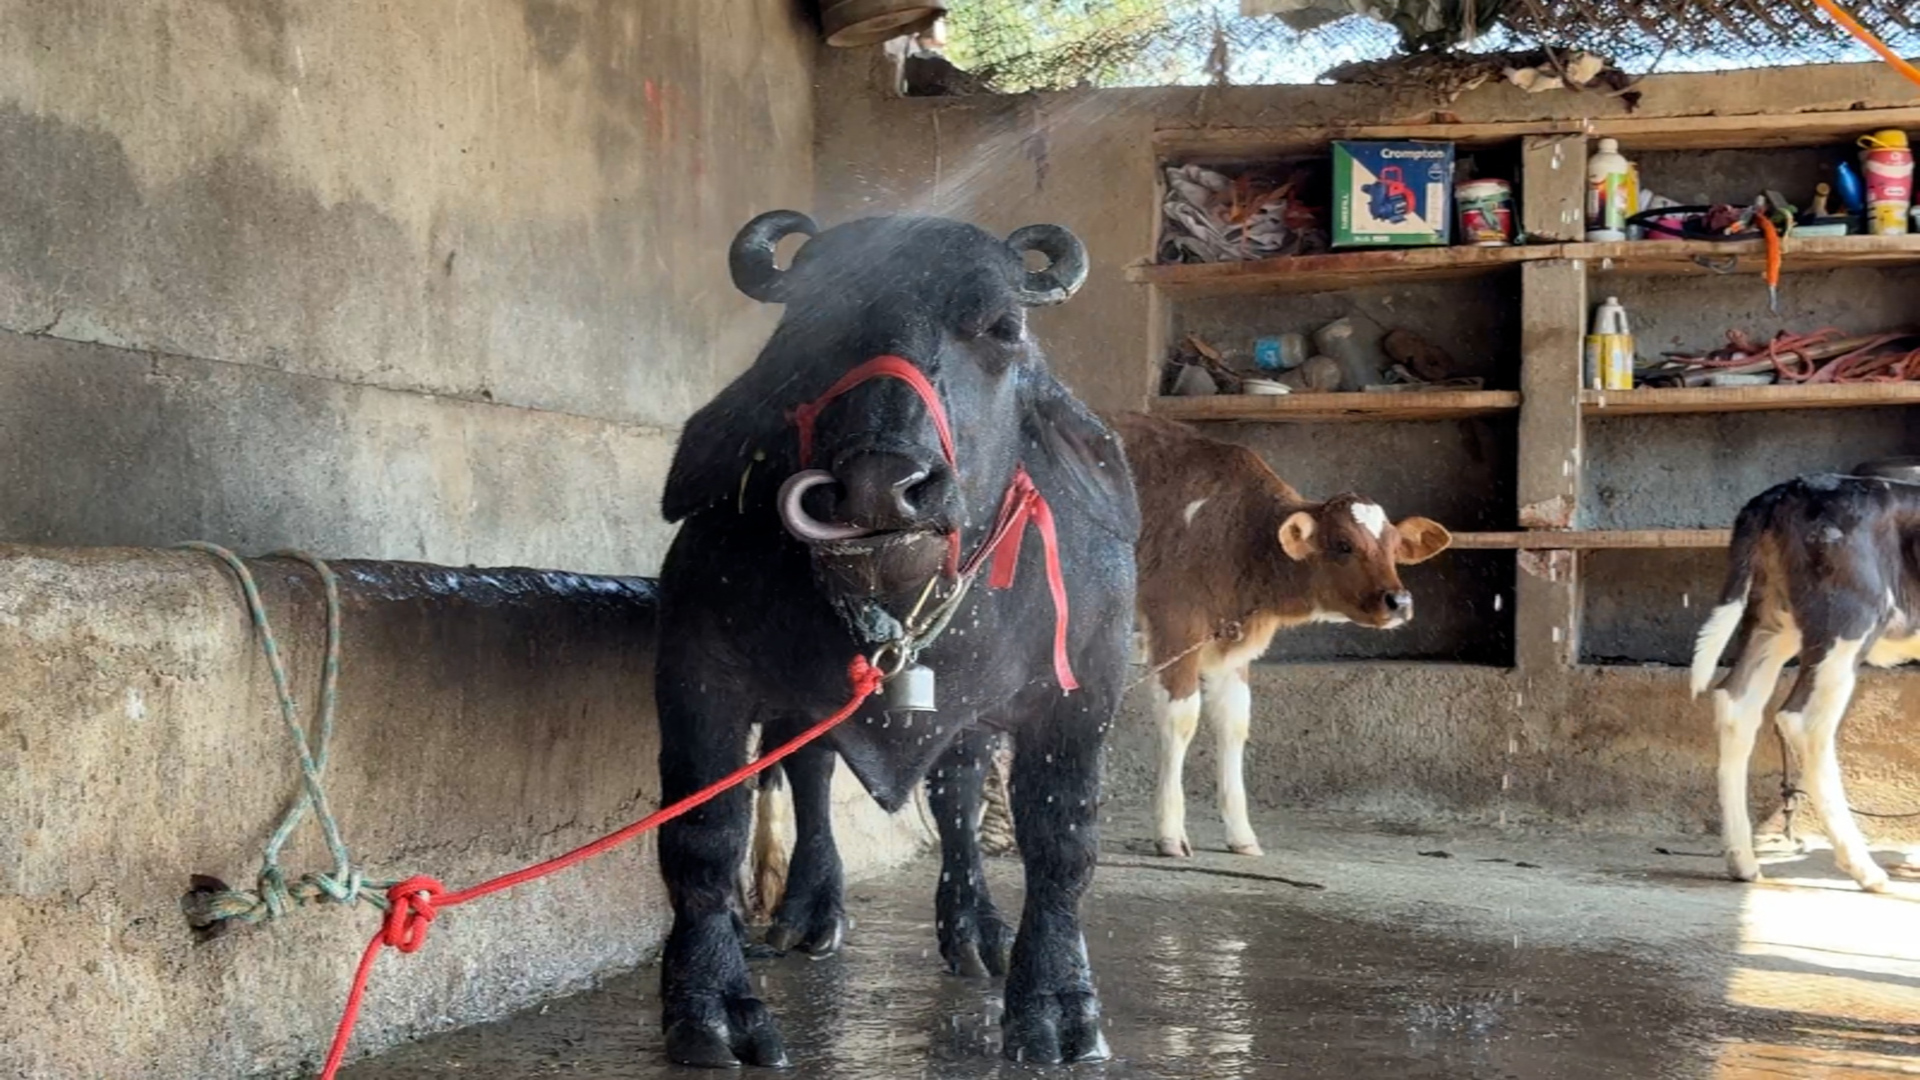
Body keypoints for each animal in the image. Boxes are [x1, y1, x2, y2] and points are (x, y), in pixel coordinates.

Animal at [653, 211, 1139, 1066]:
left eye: (1003, 327)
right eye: (807, 323)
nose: (882, 483)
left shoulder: (1084, 690)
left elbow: (1061, 838)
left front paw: (1057, 1004)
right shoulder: (695, 673)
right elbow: (704, 831)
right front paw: (708, 1001)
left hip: (970, 723)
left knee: (957, 797)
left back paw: (976, 928)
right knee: (811, 775)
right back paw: (809, 911)